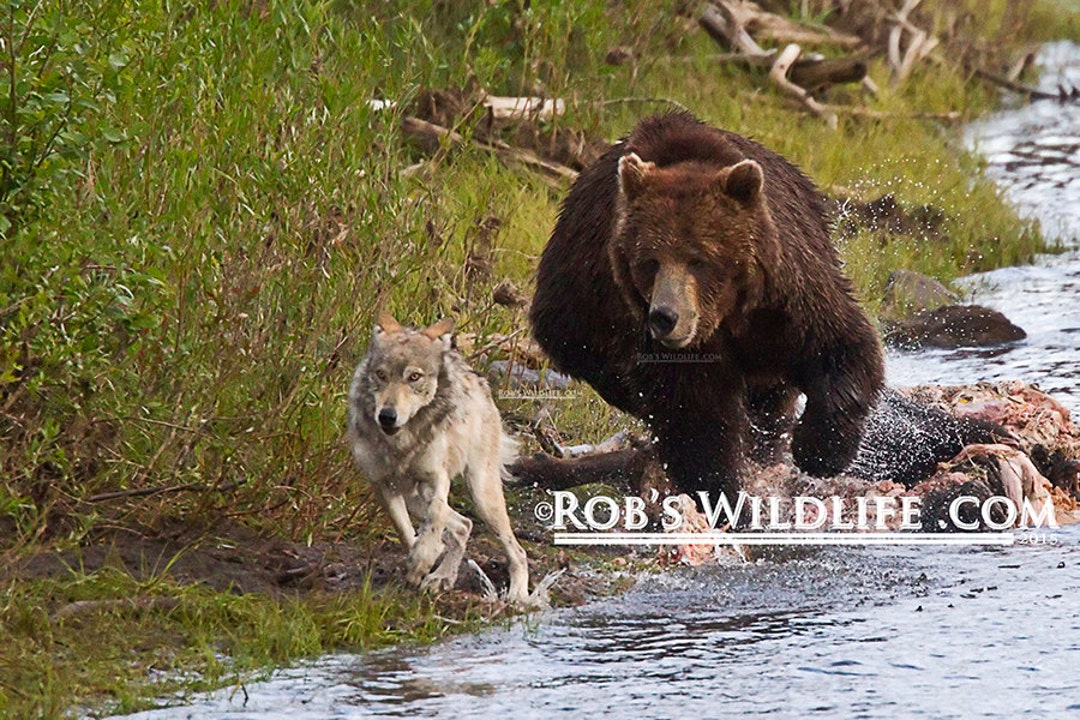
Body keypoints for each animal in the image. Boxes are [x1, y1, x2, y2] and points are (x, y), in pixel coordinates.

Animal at [347, 313, 530, 604]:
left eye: (414, 377)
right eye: (381, 375)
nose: (387, 416)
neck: (402, 442)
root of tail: (478, 378)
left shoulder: (437, 478)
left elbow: (435, 519)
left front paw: (422, 559)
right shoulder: (383, 485)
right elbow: (404, 530)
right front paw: (420, 564)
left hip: (482, 494)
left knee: (516, 550)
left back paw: (518, 594)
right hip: (415, 497)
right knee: (464, 525)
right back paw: (443, 577)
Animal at [529, 112, 885, 499]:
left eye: (699, 259)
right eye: (649, 261)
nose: (664, 317)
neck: (725, 313)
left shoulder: (785, 296)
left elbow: (838, 345)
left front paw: (819, 451)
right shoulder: (665, 343)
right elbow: (695, 417)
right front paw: (723, 488)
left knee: (771, 396)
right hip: (575, 312)